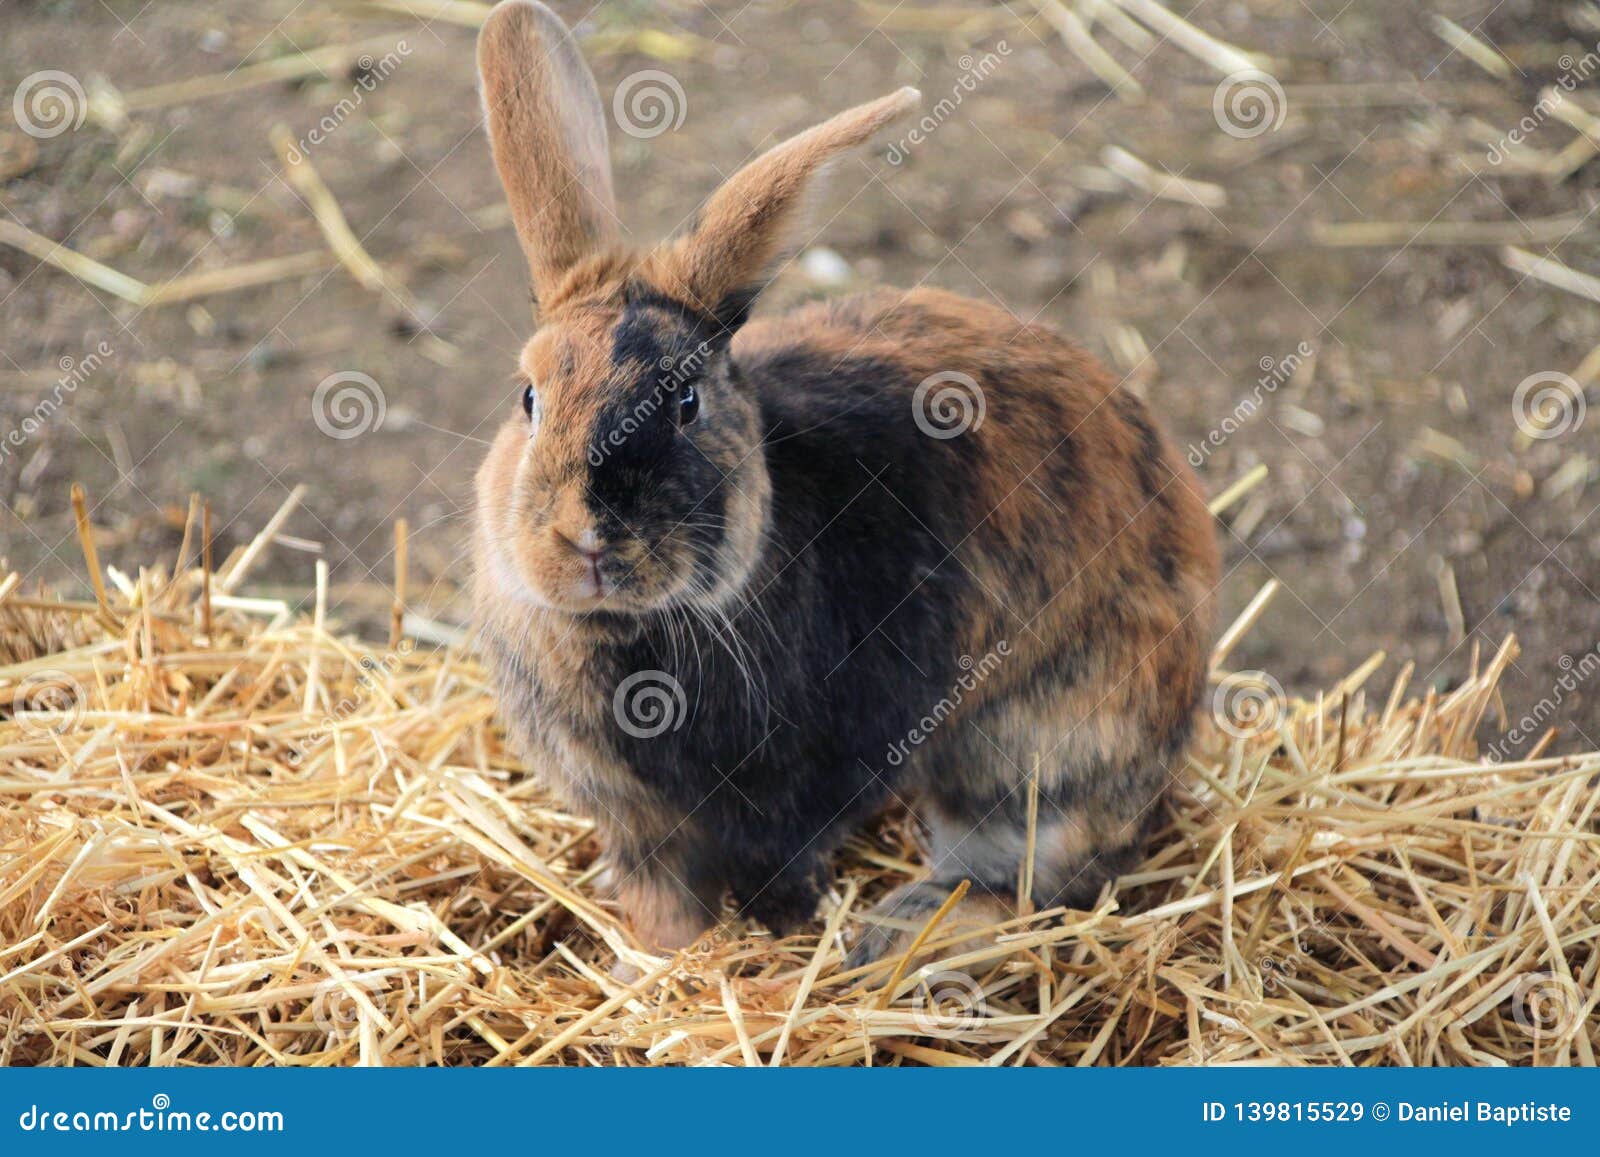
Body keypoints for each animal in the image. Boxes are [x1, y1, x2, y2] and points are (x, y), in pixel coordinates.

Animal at [471, 0, 1220, 967]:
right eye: (528, 396)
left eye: (686, 402)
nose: (585, 539)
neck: (631, 631)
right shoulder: (640, 830)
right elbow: (663, 903)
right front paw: (662, 962)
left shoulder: (805, 799)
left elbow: (784, 878)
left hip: (1037, 751)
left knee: (1043, 877)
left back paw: (898, 932)